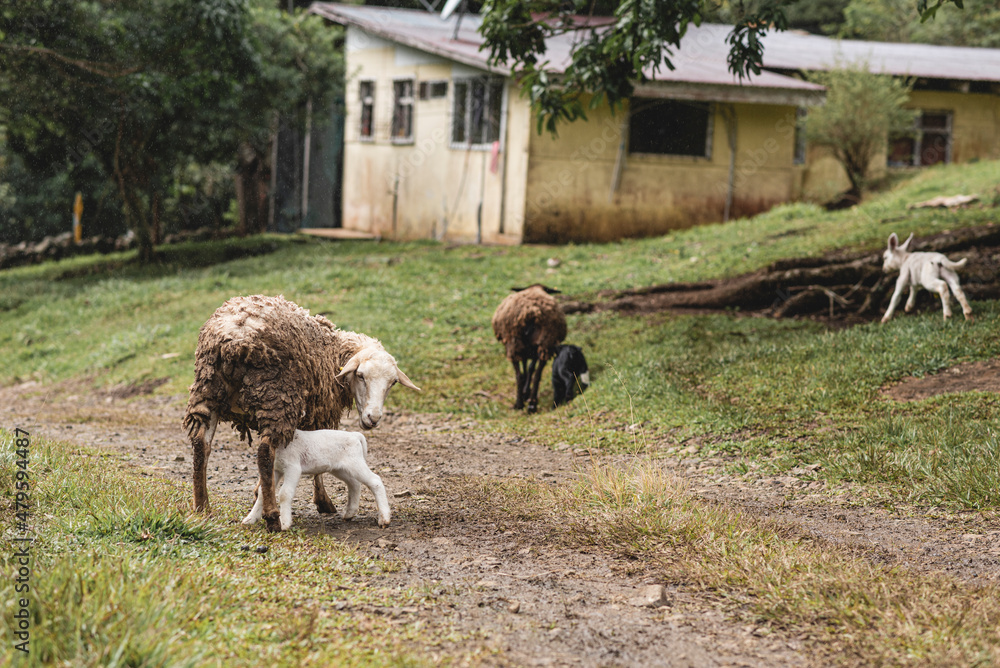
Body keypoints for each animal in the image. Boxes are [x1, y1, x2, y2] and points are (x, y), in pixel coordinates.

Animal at [242, 429, 390, 531]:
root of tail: (356, 435)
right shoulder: (276, 469)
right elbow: (263, 492)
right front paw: (250, 519)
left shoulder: (293, 467)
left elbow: (284, 493)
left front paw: (284, 523)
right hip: (340, 468)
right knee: (354, 484)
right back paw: (349, 514)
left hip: (355, 463)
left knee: (375, 481)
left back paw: (384, 519)